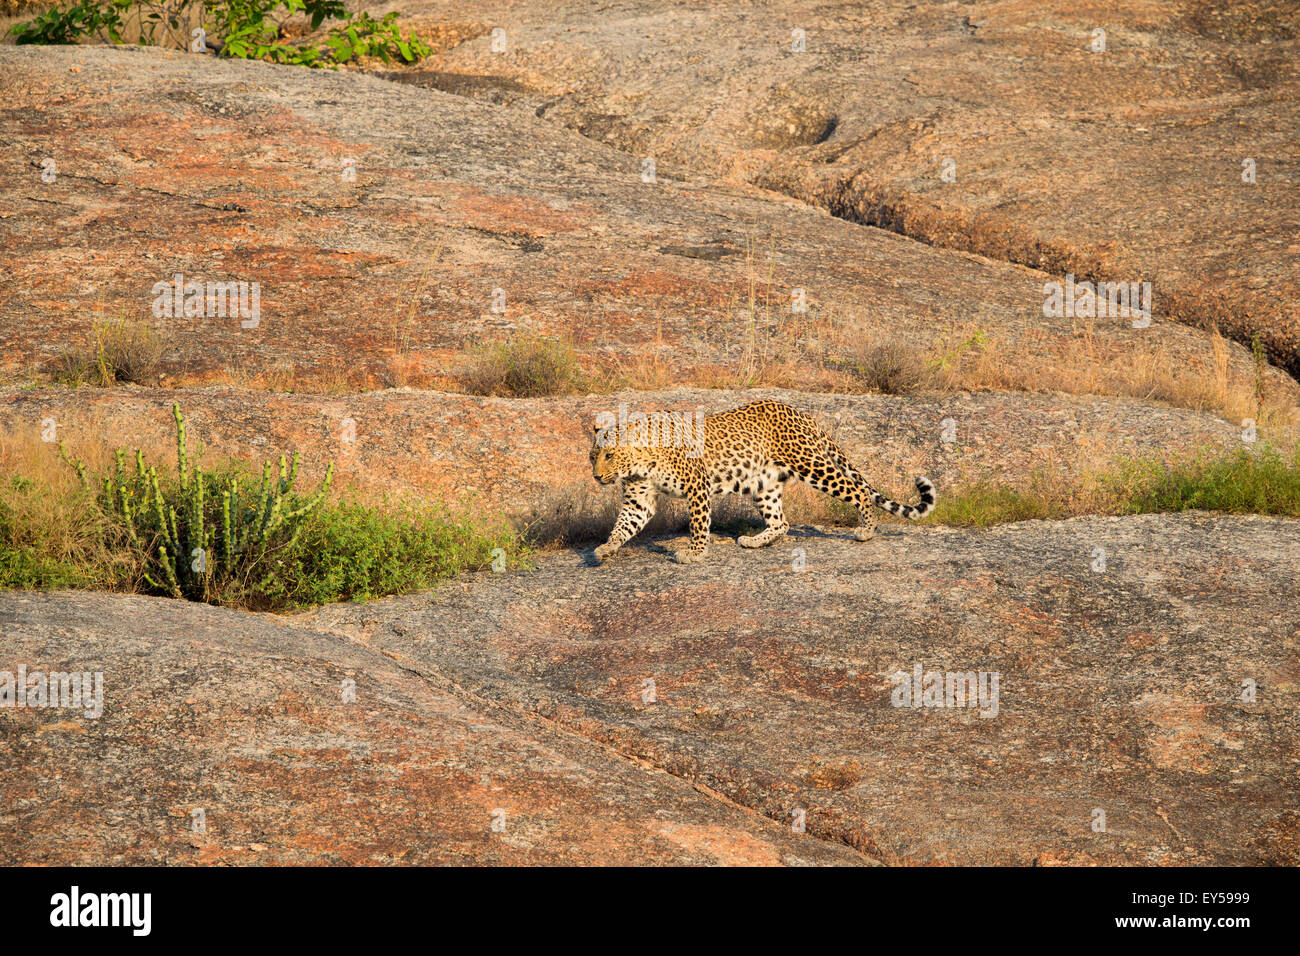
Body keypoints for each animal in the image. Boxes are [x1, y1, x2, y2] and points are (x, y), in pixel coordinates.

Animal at [589, 400, 935, 564]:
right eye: (593, 457)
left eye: (609, 454)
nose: (595, 476)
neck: (640, 462)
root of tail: (801, 414)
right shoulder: (639, 500)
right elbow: (624, 525)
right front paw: (606, 549)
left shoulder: (698, 486)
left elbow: (698, 524)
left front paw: (695, 553)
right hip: (765, 484)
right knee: (781, 522)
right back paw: (755, 541)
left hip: (811, 465)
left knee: (858, 490)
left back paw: (866, 530)